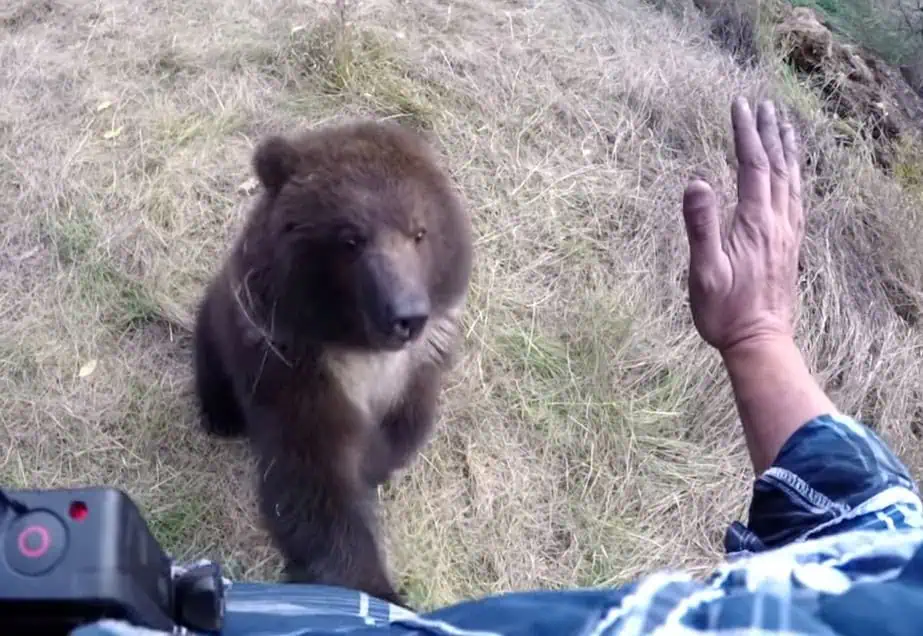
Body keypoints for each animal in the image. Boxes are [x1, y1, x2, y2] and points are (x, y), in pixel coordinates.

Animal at [191, 119, 473, 607]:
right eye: (351, 239)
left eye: (419, 232)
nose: (406, 316)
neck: (360, 349)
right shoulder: (294, 369)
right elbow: (315, 483)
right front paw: (375, 586)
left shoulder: (418, 368)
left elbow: (400, 432)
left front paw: (374, 466)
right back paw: (221, 416)